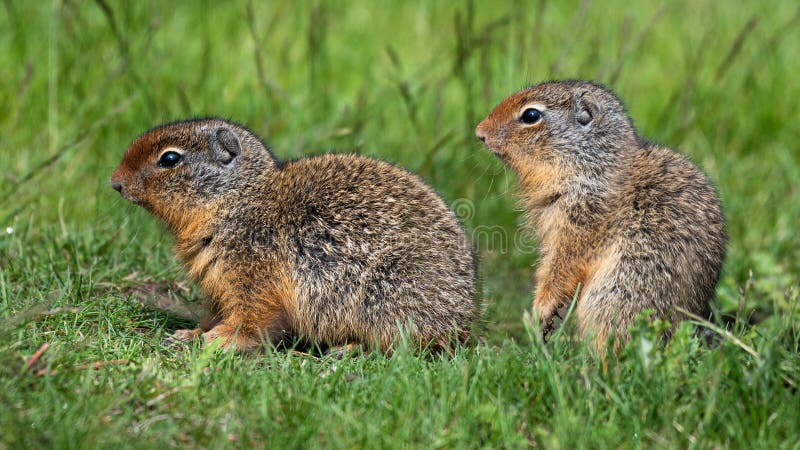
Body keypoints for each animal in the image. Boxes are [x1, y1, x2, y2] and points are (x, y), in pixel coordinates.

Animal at [110, 118, 476, 353]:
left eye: (170, 158)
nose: (115, 182)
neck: (238, 202)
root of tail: (466, 320)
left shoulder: (252, 272)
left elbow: (252, 315)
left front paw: (221, 338)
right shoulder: (217, 279)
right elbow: (215, 310)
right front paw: (189, 332)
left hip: (387, 292)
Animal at [475, 80, 726, 350]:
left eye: (530, 115)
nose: (480, 132)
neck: (591, 166)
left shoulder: (581, 223)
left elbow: (561, 270)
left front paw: (541, 309)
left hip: (613, 294)